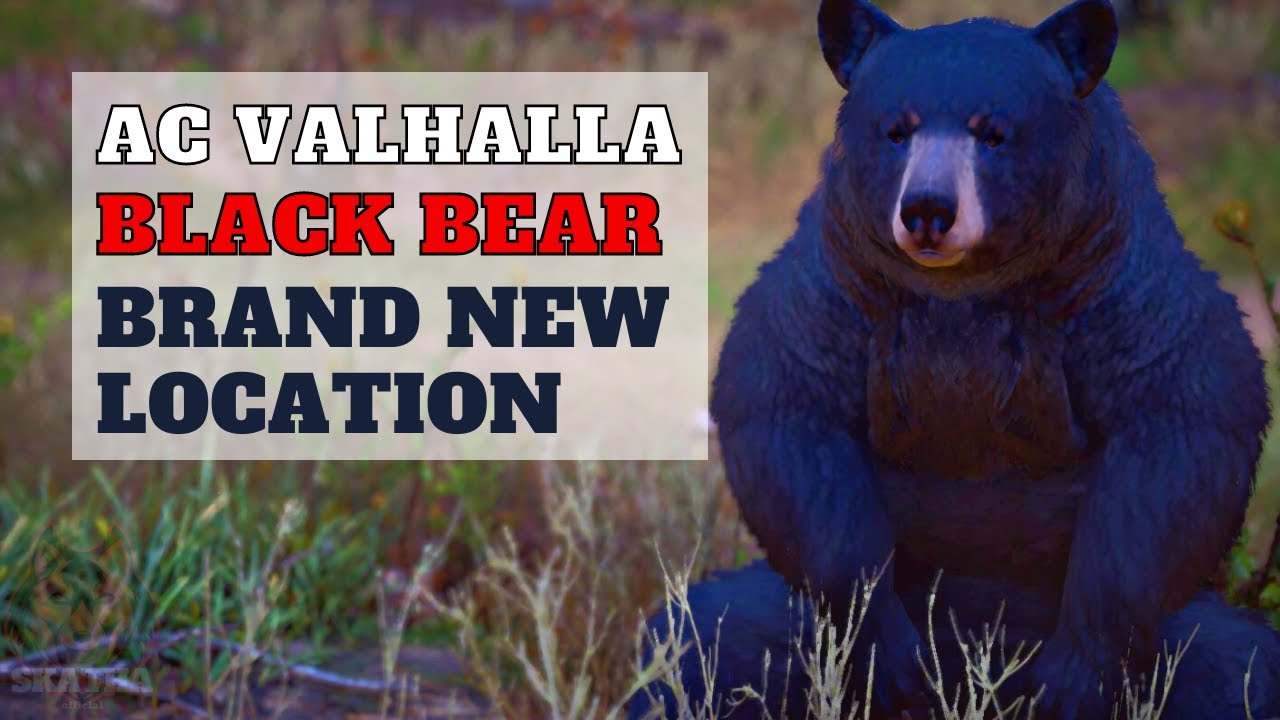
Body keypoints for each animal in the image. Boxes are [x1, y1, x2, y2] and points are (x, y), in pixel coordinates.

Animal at [627, 1, 1280, 719]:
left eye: (994, 132)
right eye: (896, 129)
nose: (928, 210)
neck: (962, 293)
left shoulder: (1121, 284)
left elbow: (1175, 428)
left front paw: (1074, 680)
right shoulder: (836, 282)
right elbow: (789, 413)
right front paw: (885, 659)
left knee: (1237, 669)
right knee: (697, 642)